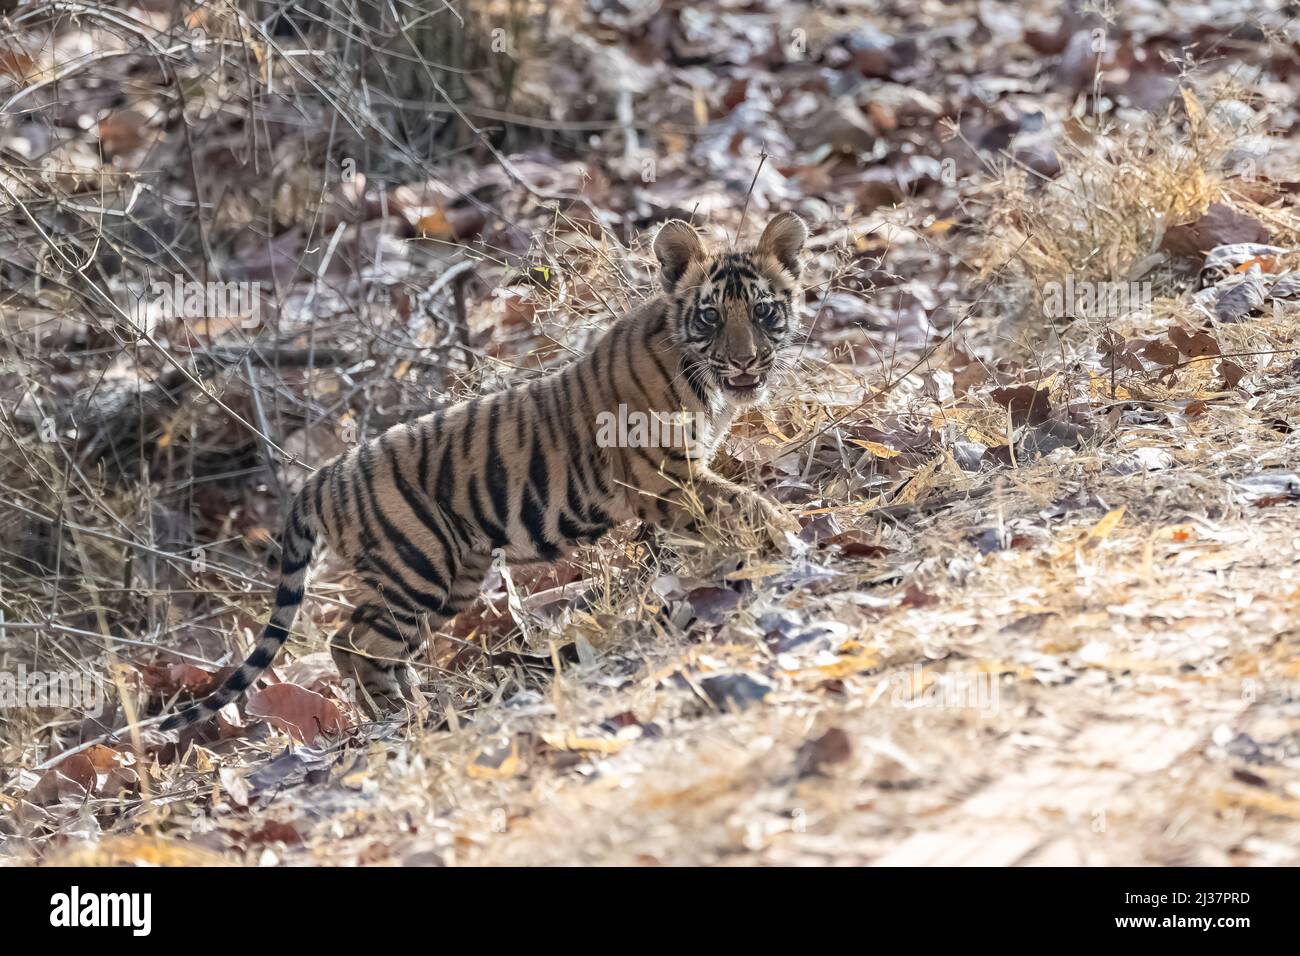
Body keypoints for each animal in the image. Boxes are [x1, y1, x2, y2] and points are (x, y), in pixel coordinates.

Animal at [160, 212, 809, 731]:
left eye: (762, 310)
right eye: (710, 317)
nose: (746, 361)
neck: (704, 382)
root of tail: (324, 475)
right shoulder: (664, 478)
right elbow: (745, 502)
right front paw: (786, 537)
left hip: (453, 576)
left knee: (369, 642)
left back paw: (416, 702)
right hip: (416, 566)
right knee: (357, 643)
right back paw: (401, 717)